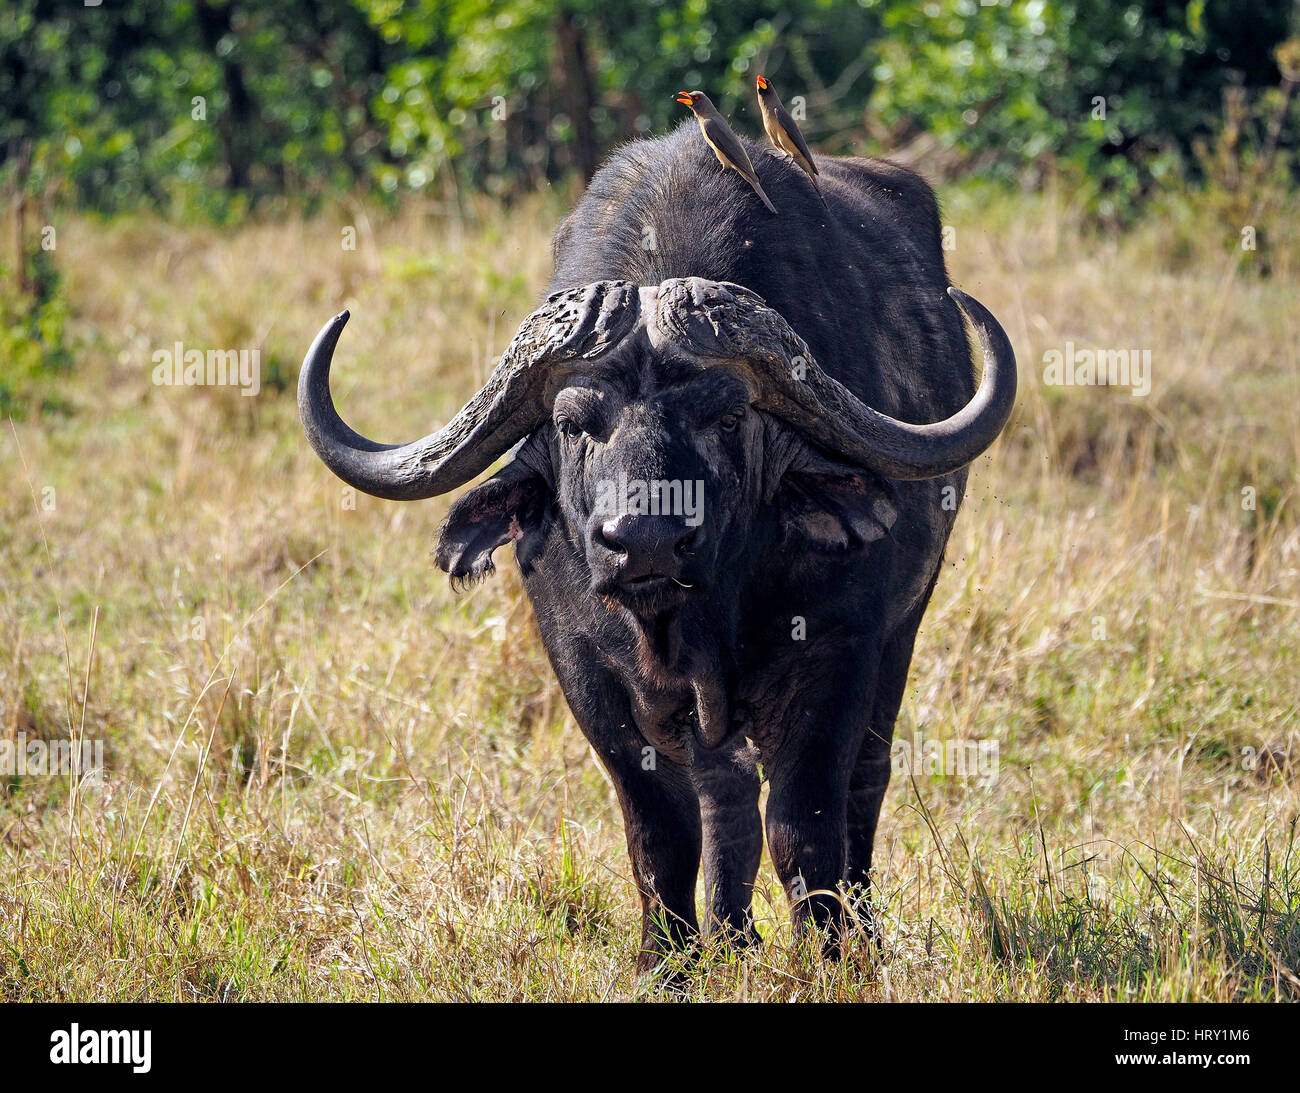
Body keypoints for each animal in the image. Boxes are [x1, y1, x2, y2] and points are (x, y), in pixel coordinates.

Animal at [299, 121, 1016, 972]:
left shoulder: (841, 650)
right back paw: (732, 936)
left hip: (904, 629)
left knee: (862, 785)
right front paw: (665, 959)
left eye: (728, 416)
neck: (693, 622)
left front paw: (830, 953)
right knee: (726, 796)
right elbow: (661, 831)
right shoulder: (586, 673)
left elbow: (806, 823)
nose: (645, 543)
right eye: (574, 421)